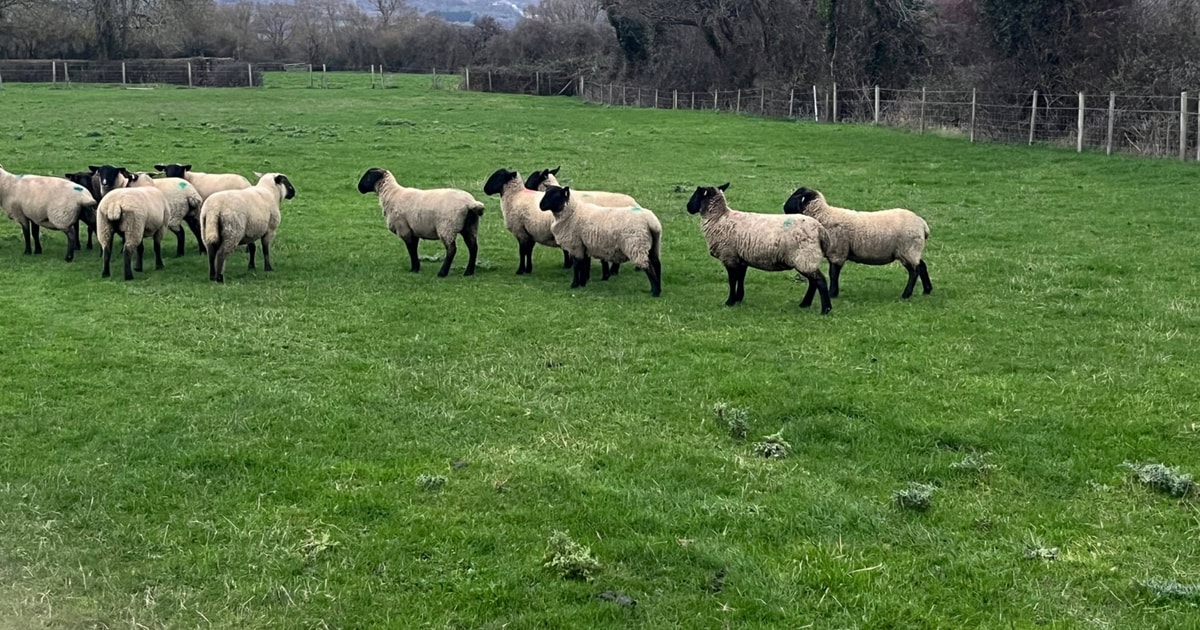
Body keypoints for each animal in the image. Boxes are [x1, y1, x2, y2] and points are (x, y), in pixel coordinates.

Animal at [686, 183, 831, 314]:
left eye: (697, 194)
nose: (688, 207)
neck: (719, 218)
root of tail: (820, 229)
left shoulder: (729, 256)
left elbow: (732, 281)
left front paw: (730, 301)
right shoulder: (741, 258)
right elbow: (741, 278)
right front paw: (739, 298)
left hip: (805, 256)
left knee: (820, 282)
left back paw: (826, 309)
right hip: (807, 258)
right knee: (813, 282)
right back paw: (805, 304)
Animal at [783, 187, 931, 300]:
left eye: (795, 196)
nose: (784, 208)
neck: (825, 216)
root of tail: (922, 224)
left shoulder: (838, 251)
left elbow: (833, 273)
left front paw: (832, 293)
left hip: (908, 249)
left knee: (914, 272)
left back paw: (906, 294)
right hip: (913, 250)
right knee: (922, 266)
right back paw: (927, 290)